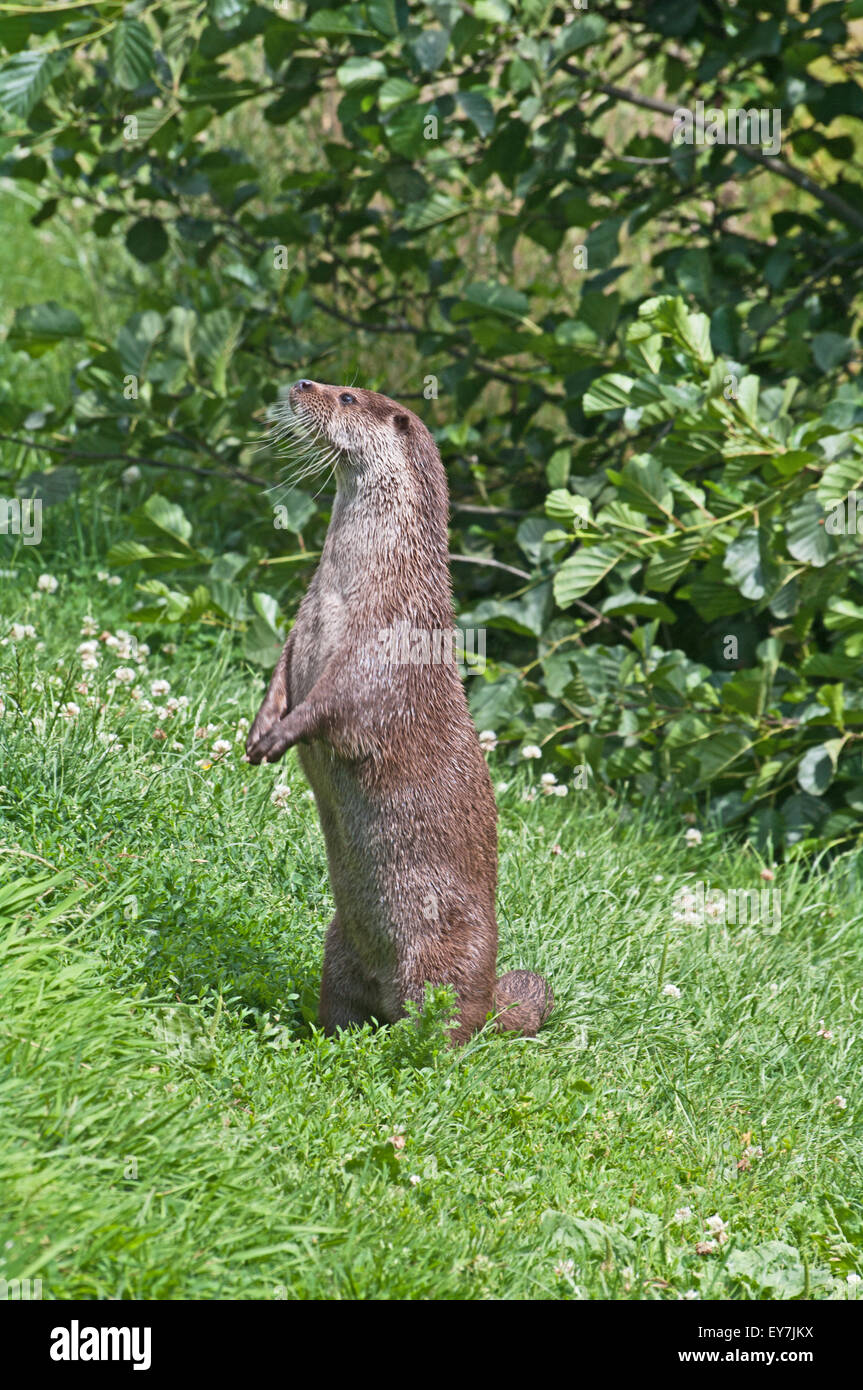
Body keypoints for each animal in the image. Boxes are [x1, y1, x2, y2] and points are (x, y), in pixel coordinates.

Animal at [245, 380, 553, 1045]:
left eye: (346, 396)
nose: (302, 384)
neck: (356, 589)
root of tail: (491, 995)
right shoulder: (300, 625)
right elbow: (281, 669)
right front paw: (258, 731)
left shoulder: (378, 651)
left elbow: (334, 705)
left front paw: (284, 735)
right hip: (337, 945)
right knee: (341, 1002)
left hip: (440, 962)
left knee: (451, 1028)